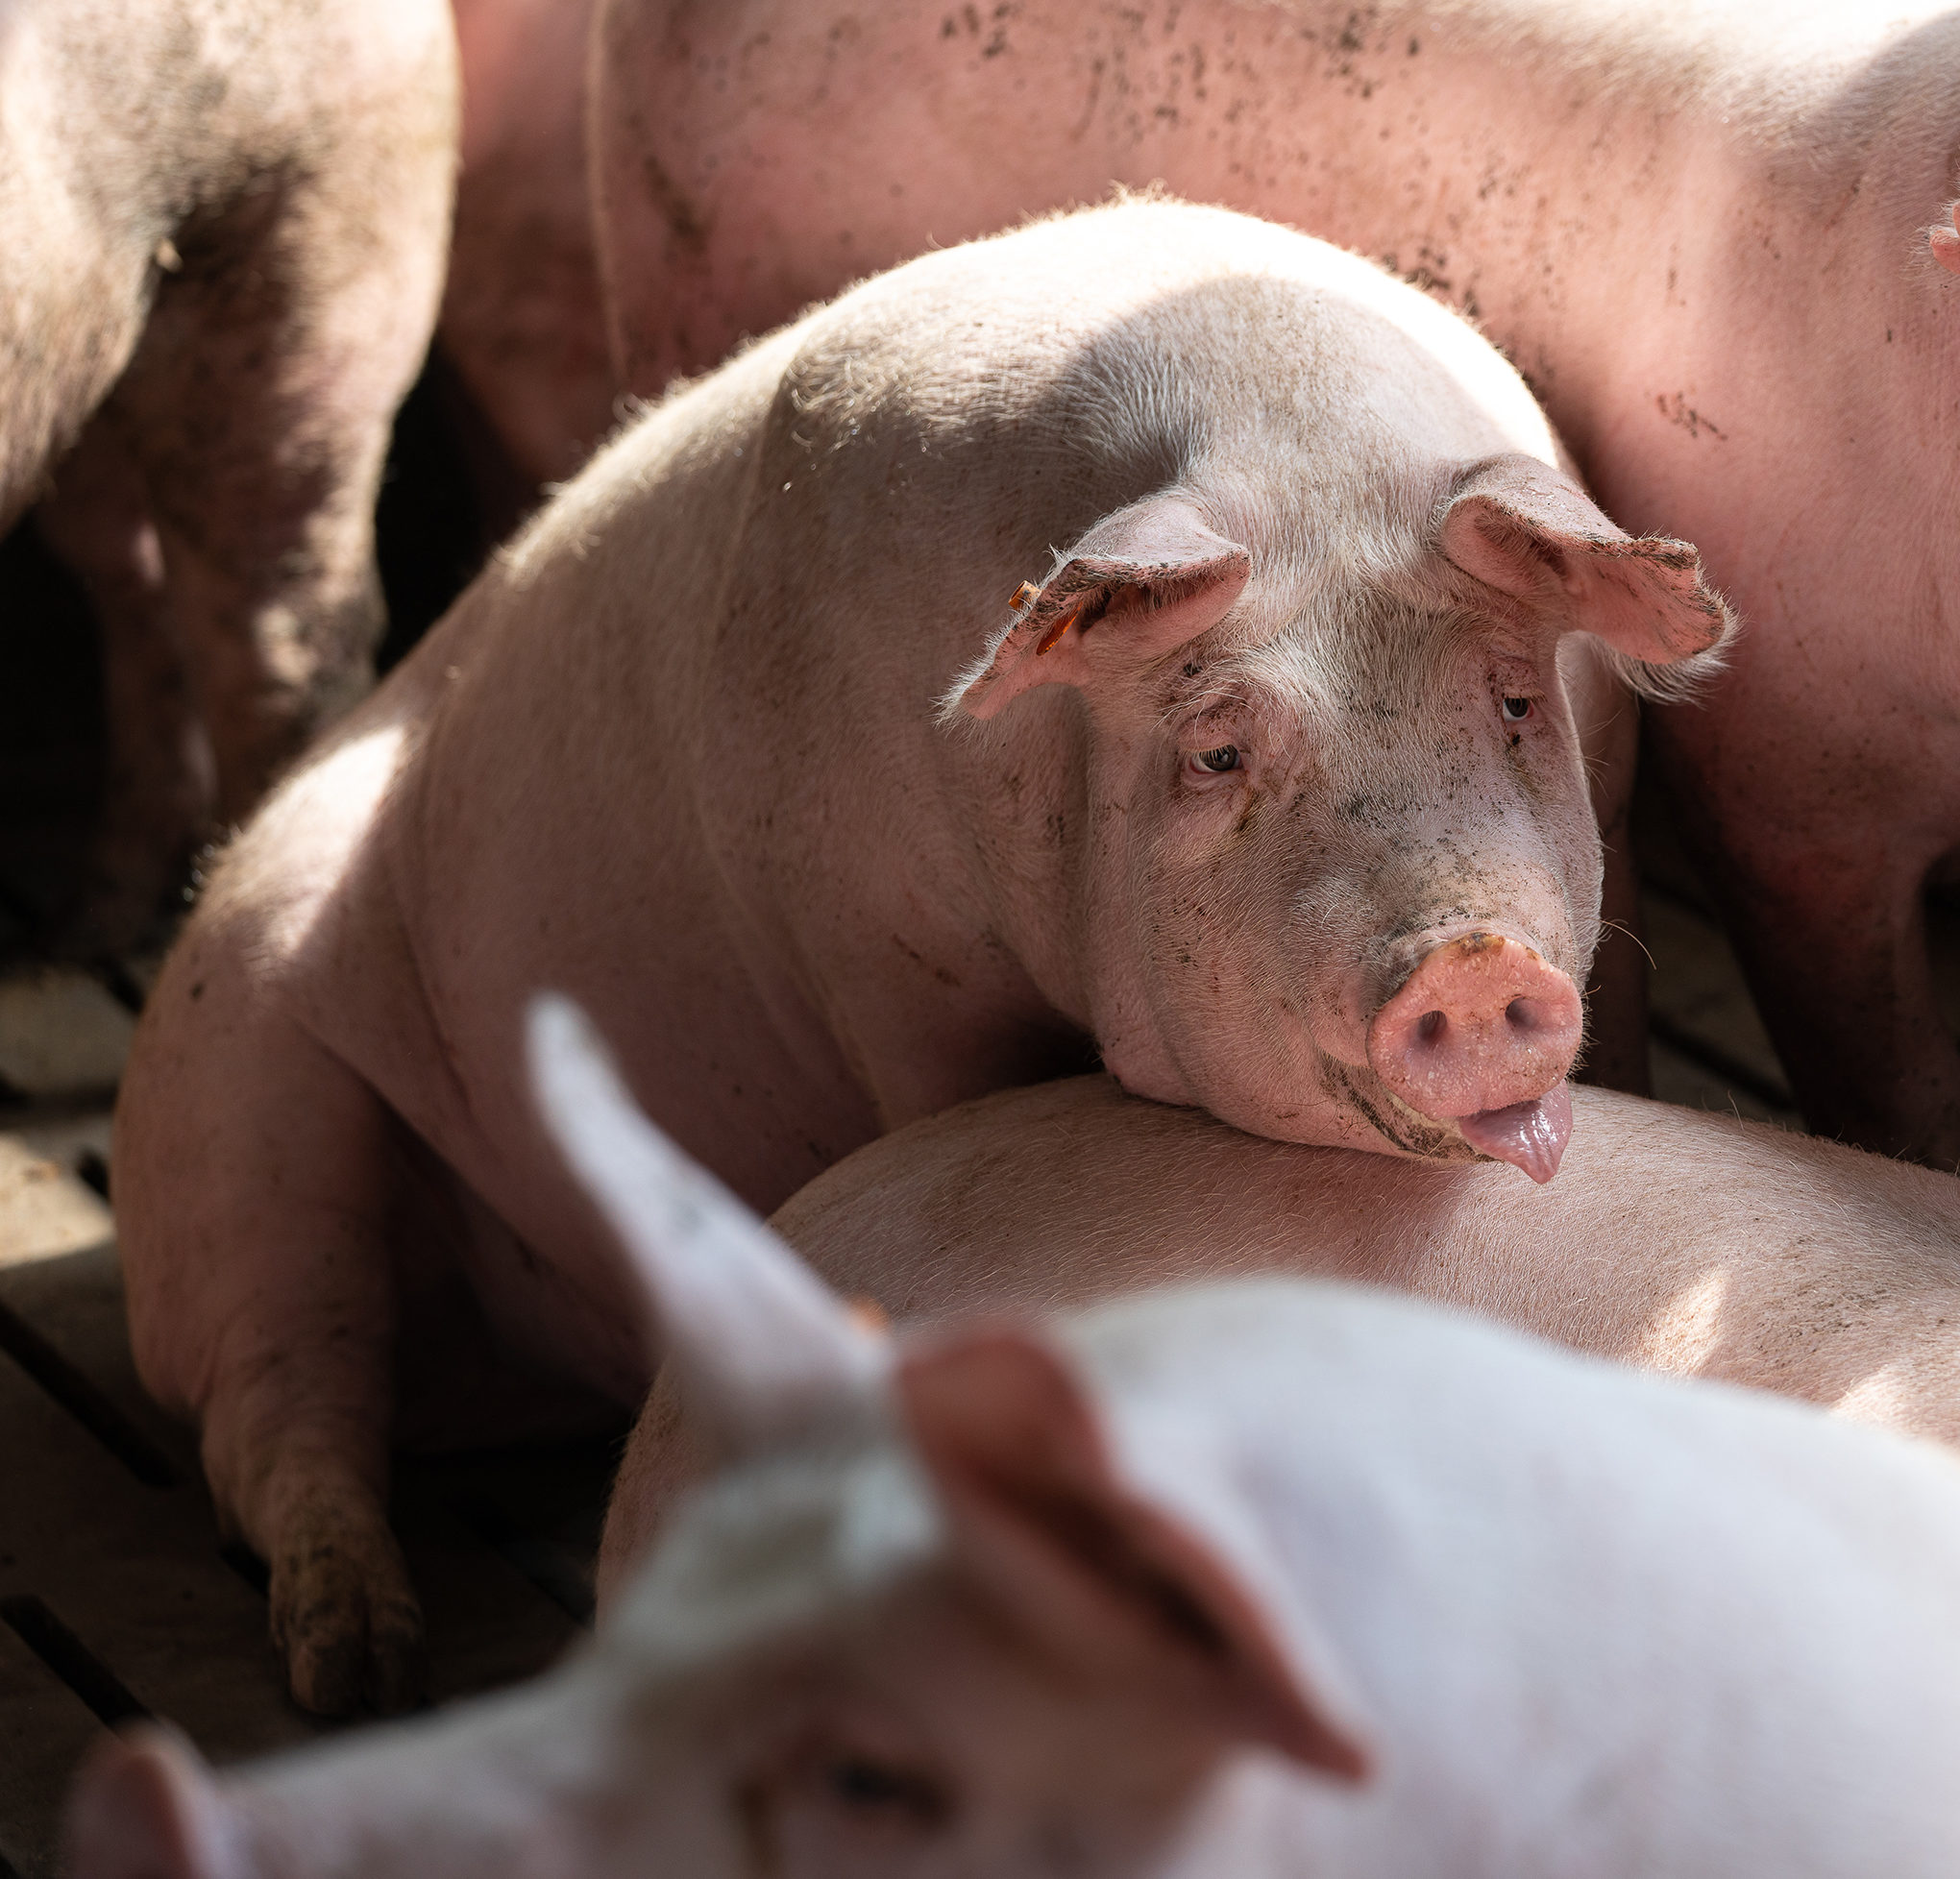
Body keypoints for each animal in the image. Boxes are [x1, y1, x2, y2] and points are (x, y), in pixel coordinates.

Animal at [112, 197, 1729, 1714]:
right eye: (1217, 751)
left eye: (1514, 700)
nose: (1471, 958)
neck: (1281, 422)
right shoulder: (882, 964)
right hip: (231, 1082)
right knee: (277, 1402)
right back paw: (361, 1669)